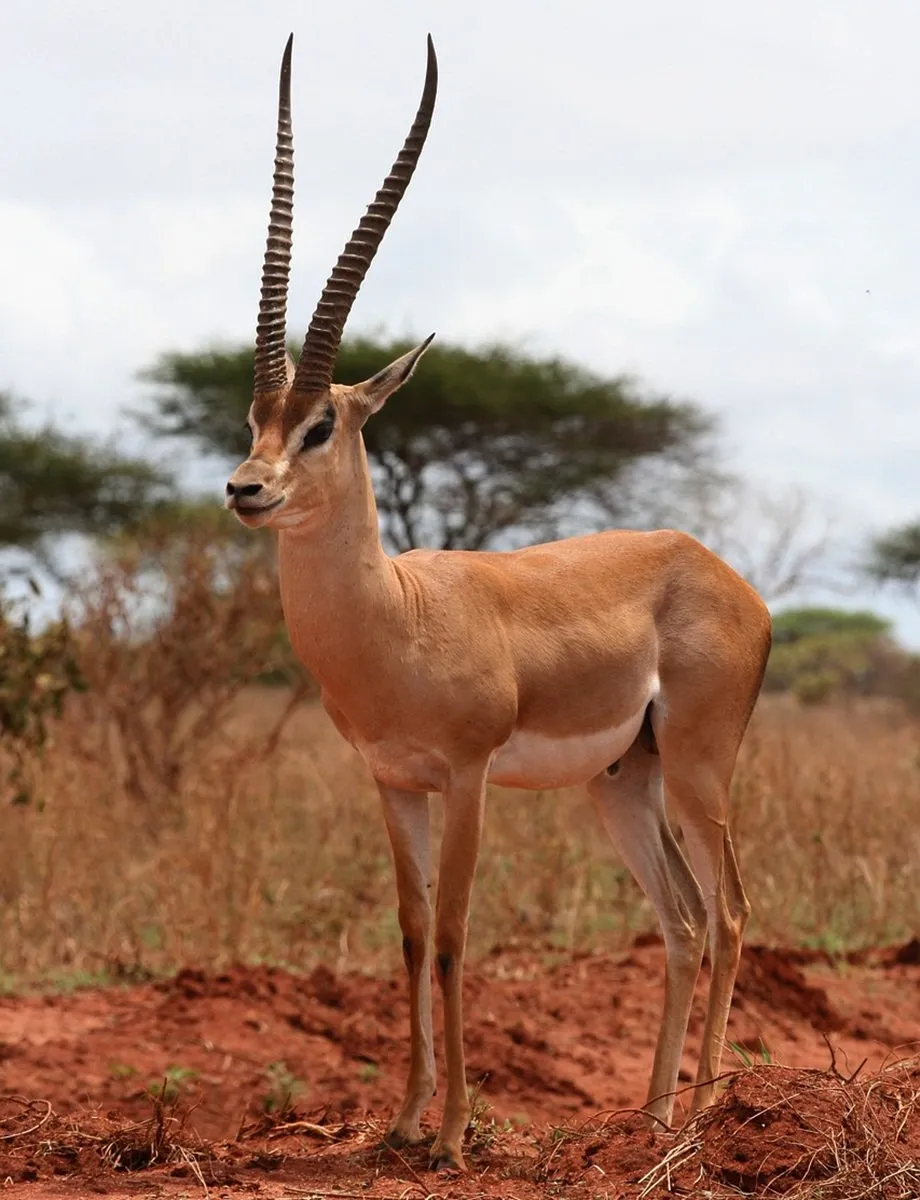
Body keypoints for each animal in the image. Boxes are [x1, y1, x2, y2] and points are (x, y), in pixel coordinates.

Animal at [225, 34, 772, 1171]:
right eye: (254, 417)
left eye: (321, 427)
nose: (245, 489)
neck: (397, 619)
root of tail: (715, 569)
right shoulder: (393, 782)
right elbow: (406, 933)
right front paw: (399, 1122)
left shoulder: (468, 777)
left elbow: (454, 935)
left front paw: (450, 1136)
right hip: (622, 781)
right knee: (684, 919)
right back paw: (650, 1118)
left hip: (700, 768)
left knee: (734, 911)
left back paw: (700, 1119)